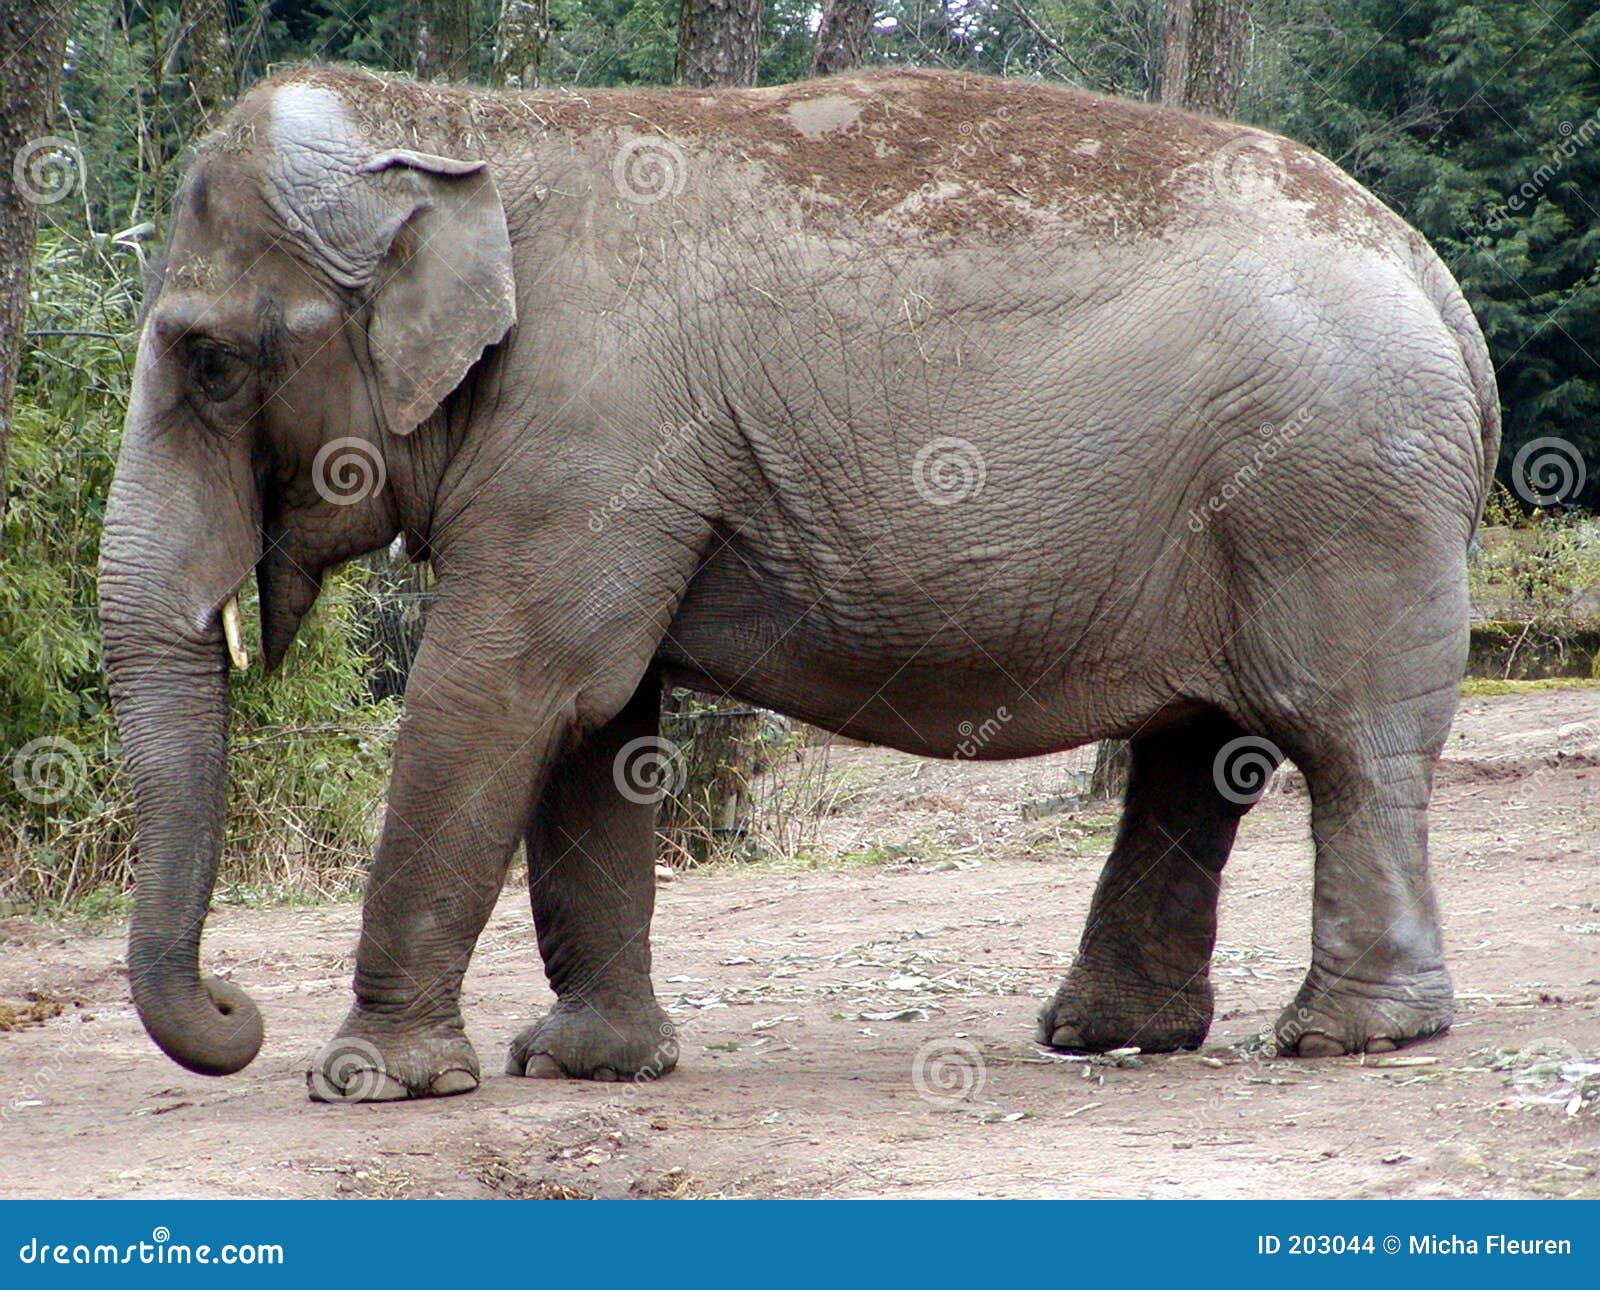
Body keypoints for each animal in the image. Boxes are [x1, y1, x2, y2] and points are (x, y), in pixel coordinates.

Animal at [98, 67, 1500, 1102]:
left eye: (210, 363)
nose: (234, 1003)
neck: (464, 127)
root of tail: (1432, 273)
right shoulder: (603, 465)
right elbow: (597, 724)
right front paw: (588, 1067)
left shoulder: (592, 432)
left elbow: (510, 688)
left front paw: (369, 1081)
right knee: (1199, 752)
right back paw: (1113, 1035)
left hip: (1337, 494)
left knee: (1345, 741)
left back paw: (1345, 1038)